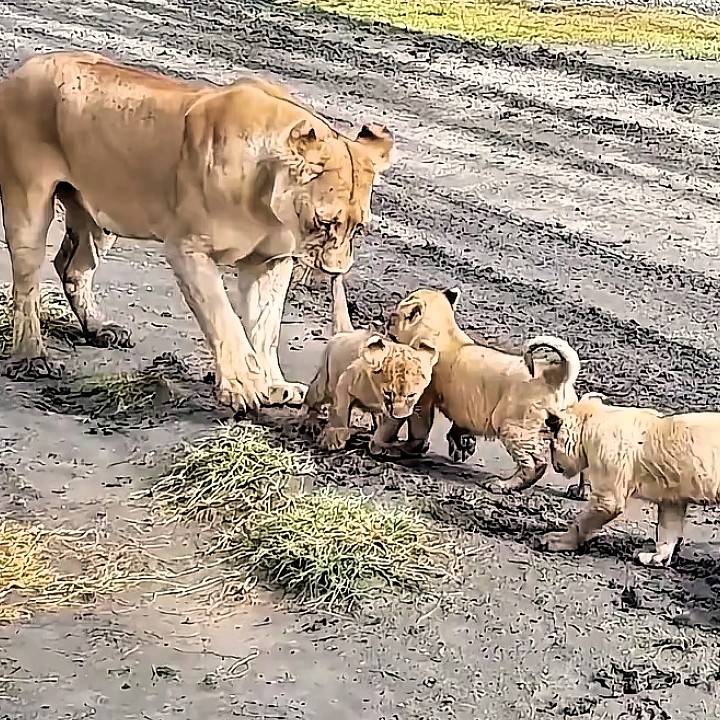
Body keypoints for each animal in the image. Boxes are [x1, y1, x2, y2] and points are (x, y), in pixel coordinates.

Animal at [0, 51, 395, 413]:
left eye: (359, 227)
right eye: (324, 222)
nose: (335, 271)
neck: (269, 199)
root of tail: (23, 68)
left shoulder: (271, 261)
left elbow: (265, 327)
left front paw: (273, 386)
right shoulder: (187, 249)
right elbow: (225, 319)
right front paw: (243, 387)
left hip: (99, 215)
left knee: (73, 267)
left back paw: (100, 328)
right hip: (29, 204)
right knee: (27, 285)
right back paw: (32, 358)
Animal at [303, 275, 440, 453]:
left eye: (411, 395)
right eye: (388, 393)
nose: (397, 414)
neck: (376, 394)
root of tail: (346, 332)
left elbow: (387, 428)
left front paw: (380, 444)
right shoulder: (345, 381)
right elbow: (340, 411)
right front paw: (334, 438)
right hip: (323, 385)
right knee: (312, 399)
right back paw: (311, 423)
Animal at [377, 287, 585, 494]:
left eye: (394, 318)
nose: (385, 324)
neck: (441, 330)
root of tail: (557, 375)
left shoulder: (421, 402)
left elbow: (418, 431)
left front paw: (404, 448)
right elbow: (457, 428)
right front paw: (461, 446)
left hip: (512, 426)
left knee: (535, 464)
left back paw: (502, 484)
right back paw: (580, 491)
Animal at [540, 392, 720, 567]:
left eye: (551, 445)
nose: (554, 465)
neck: (593, 418)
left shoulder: (608, 488)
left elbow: (585, 520)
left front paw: (556, 540)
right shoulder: (672, 498)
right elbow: (668, 528)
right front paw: (655, 558)